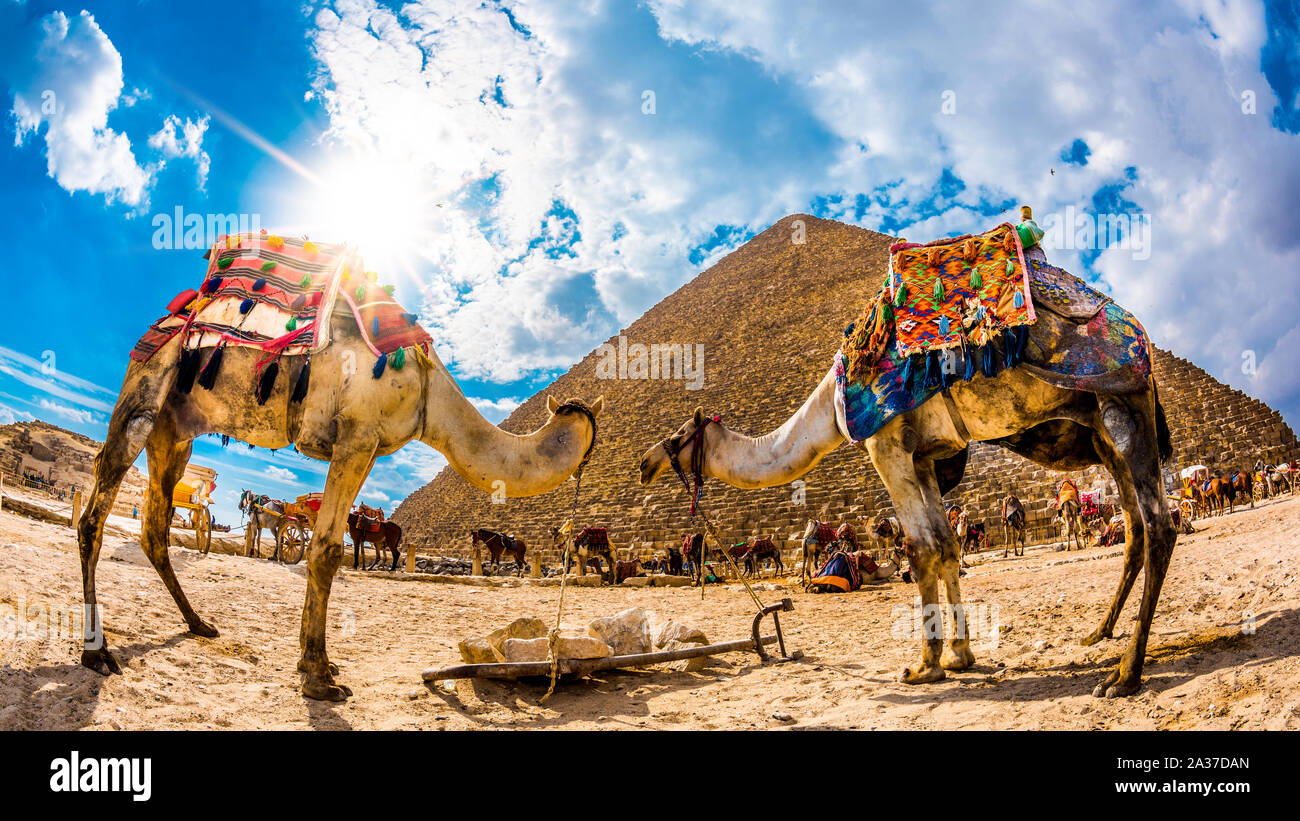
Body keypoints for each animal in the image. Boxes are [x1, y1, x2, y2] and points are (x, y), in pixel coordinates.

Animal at [78, 314, 602, 701]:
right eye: (591, 432)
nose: (573, 522)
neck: (432, 398)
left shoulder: (368, 447)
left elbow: (325, 547)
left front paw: (318, 664)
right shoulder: (356, 436)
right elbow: (326, 550)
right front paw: (317, 678)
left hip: (176, 432)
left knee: (154, 528)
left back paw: (199, 624)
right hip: (146, 392)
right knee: (95, 511)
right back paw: (95, 653)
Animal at [640, 361, 1175, 698]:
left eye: (676, 437)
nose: (643, 464)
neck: (828, 410)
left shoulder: (887, 443)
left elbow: (921, 551)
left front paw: (925, 665)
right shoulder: (924, 456)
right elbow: (947, 547)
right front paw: (959, 654)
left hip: (1122, 404)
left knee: (1159, 527)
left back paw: (1125, 674)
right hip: (1101, 435)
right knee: (1135, 530)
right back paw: (1099, 635)